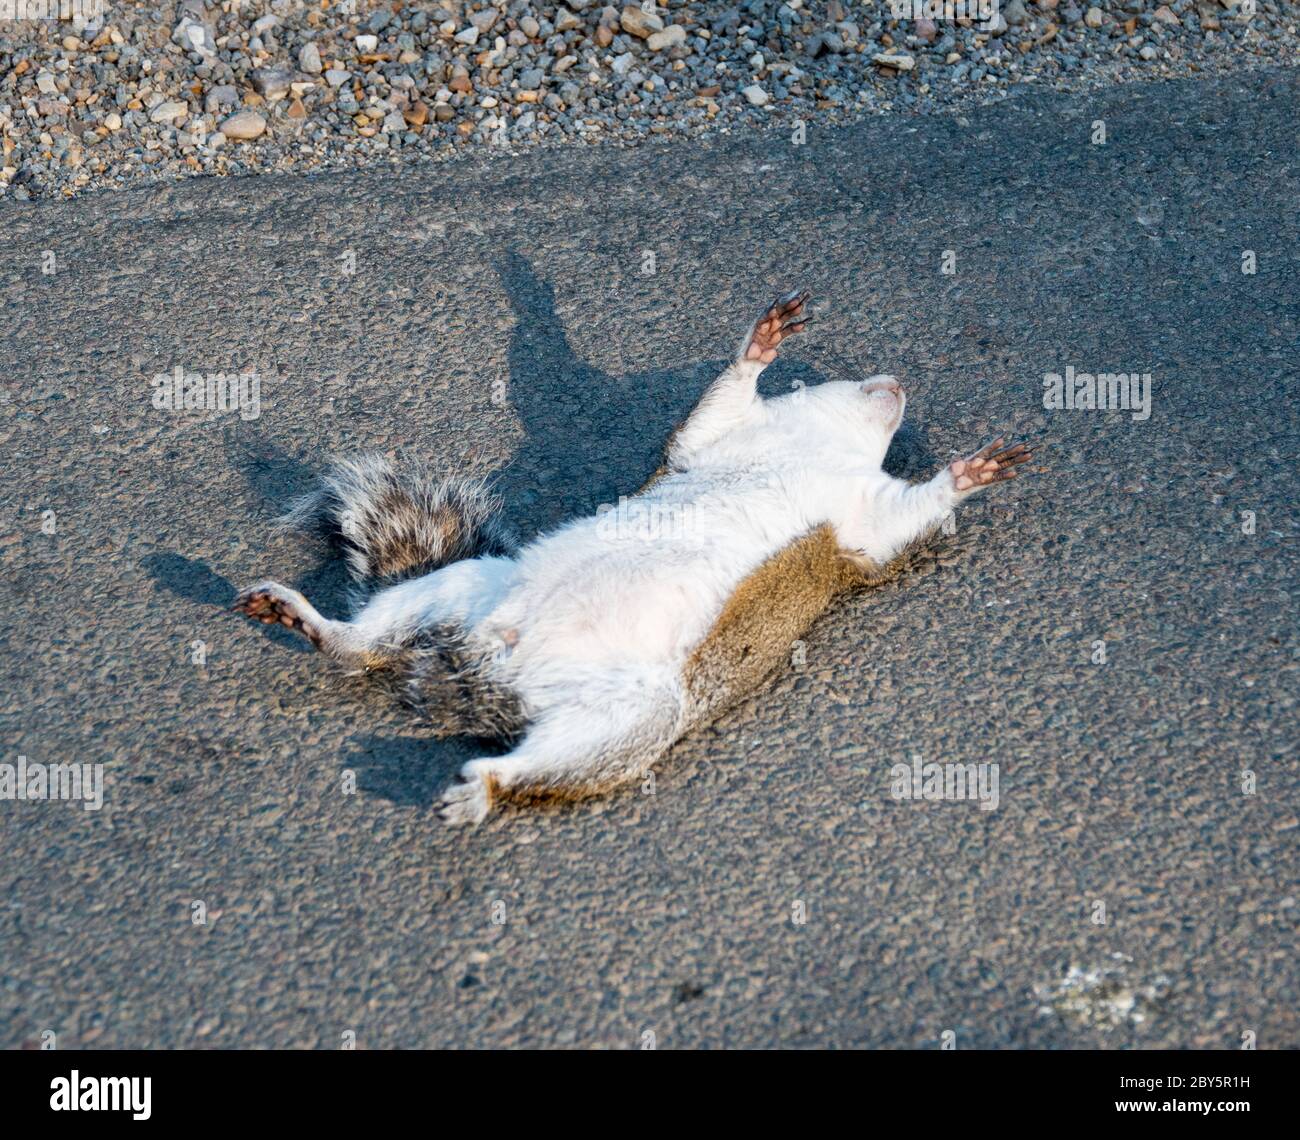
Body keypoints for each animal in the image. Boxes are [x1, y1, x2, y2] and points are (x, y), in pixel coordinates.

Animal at [234, 290, 1034, 826]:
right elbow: (712, 411)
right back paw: (305, 620)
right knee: (365, 645)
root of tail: (489, 674)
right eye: (828, 377)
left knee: (540, 764)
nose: (898, 385)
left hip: (628, 719)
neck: (816, 444)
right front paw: (761, 343)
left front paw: (967, 476)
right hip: (465, 589)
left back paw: (480, 788)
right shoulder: (713, 445)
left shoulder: (857, 533)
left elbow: (900, 527)